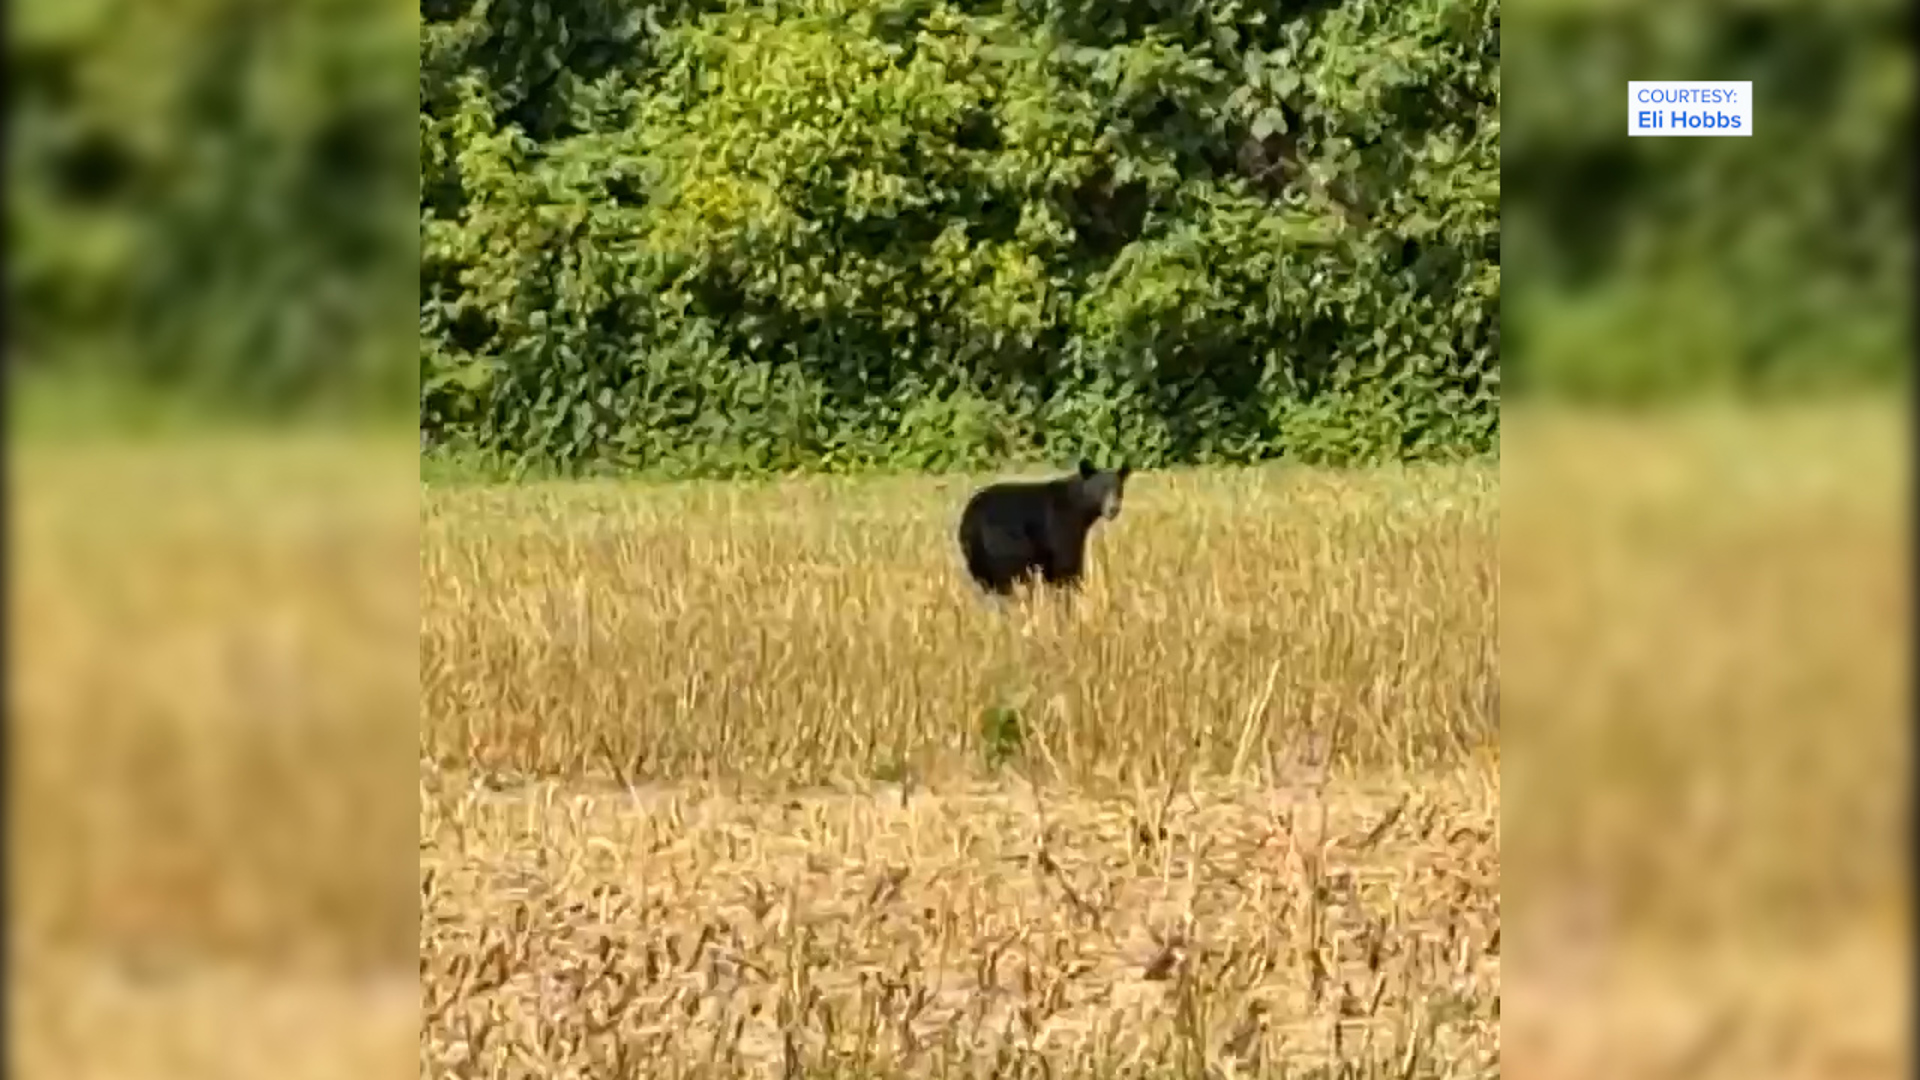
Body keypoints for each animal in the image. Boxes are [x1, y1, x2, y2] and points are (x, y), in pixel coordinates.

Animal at [957, 459, 1131, 597]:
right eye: (1101, 488)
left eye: (1118, 489)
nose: (1113, 509)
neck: (1078, 506)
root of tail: (971, 518)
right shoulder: (1062, 524)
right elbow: (1067, 564)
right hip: (1003, 541)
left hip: (975, 554)